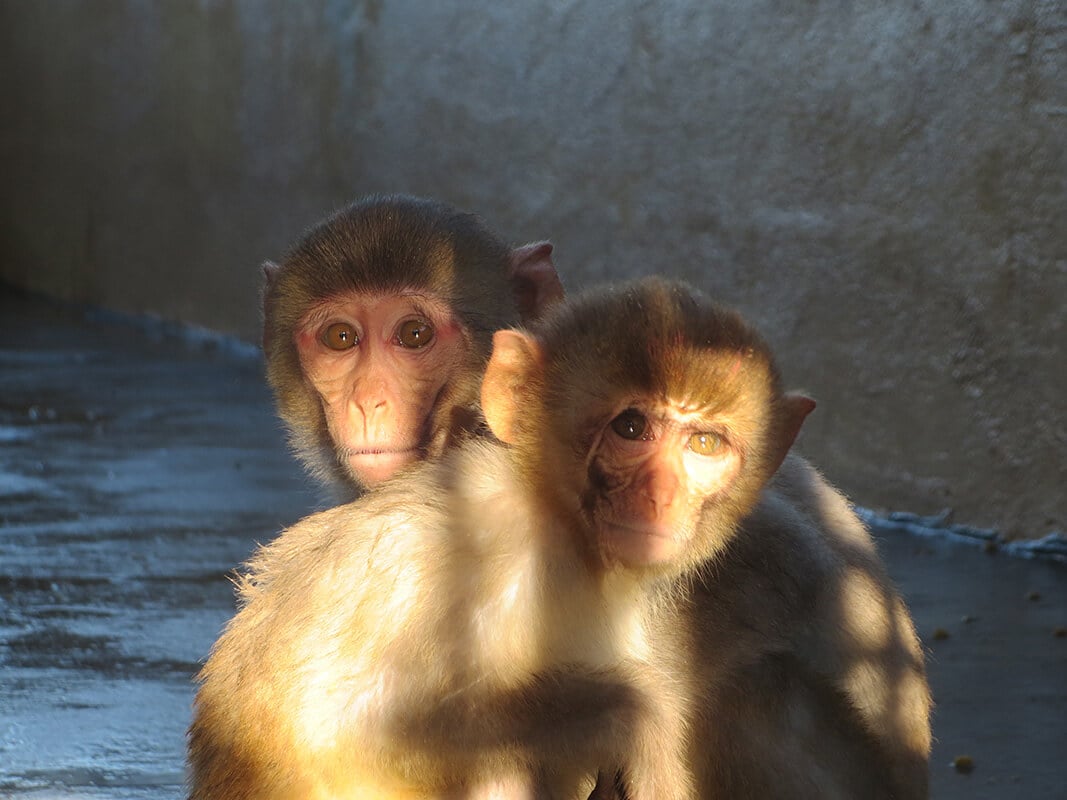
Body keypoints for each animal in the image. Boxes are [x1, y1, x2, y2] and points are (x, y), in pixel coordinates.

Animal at [187, 277, 819, 800]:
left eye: (704, 444)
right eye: (631, 427)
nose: (662, 496)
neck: (559, 531)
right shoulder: (446, 554)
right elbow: (343, 727)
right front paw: (636, 715)